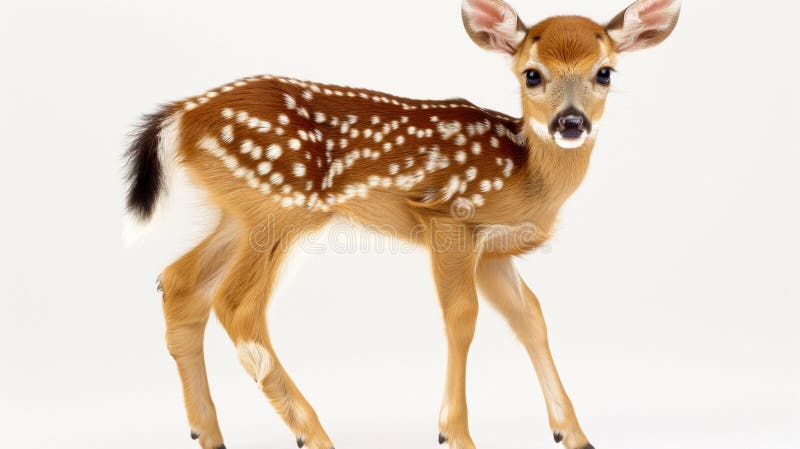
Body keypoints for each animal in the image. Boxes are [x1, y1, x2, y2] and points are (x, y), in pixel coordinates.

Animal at [124, 1, 681, 448]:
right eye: (532, 74)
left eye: (605, 72)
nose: (570, 122)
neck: (525, 176)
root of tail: (181, 115)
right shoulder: (450, 219)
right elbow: (461, 318)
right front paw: (455, 434)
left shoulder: (493, 250)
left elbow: (531, 318)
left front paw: (575, 435)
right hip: (281, 204)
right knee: (237, 305)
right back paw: (313, 434)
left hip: (239, 211)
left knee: (179, 282)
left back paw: (209, 432)